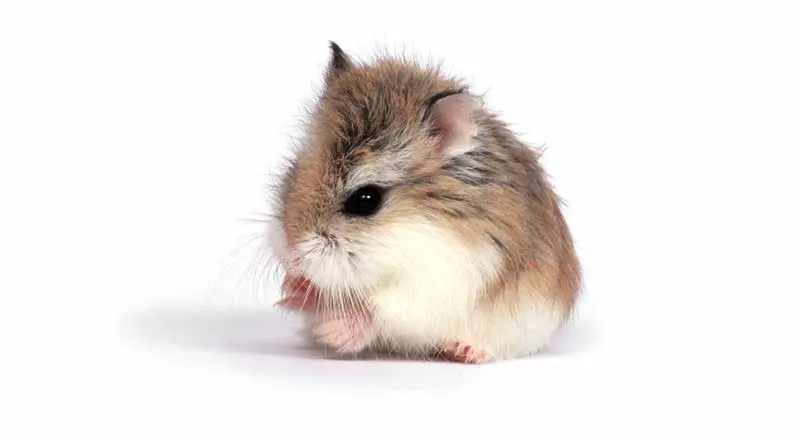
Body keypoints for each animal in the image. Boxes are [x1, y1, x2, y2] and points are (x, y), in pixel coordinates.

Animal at [268, 42, 581, 364]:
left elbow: (380, 311)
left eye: (366, 200)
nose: (292, 256)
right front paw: (294, 290)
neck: (411, 229)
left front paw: (334, 331)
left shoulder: (440, 281)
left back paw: (464, 351)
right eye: (296, 171)